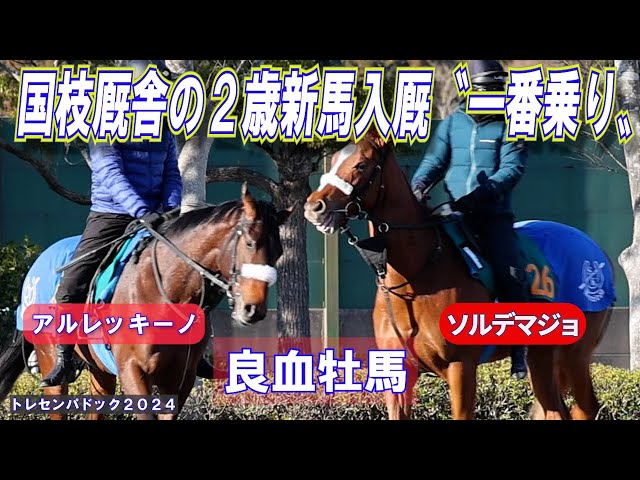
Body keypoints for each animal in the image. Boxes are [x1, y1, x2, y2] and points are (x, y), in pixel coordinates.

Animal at [0, 183, 292, 420]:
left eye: (278, 251)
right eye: (251, 244)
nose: (253, 309)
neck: (164, 293)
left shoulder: (180, 379)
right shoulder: (133, 370)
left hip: (100, 371)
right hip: (51, 365)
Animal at [303, 126, 616, 420]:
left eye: (360, 164)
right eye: (333, 161)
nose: (314, 206)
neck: (415, 278)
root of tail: (595, 251)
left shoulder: (461, 366)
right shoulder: (398, 369)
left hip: (574, 354)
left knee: (584, 408)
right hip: (543, 355)